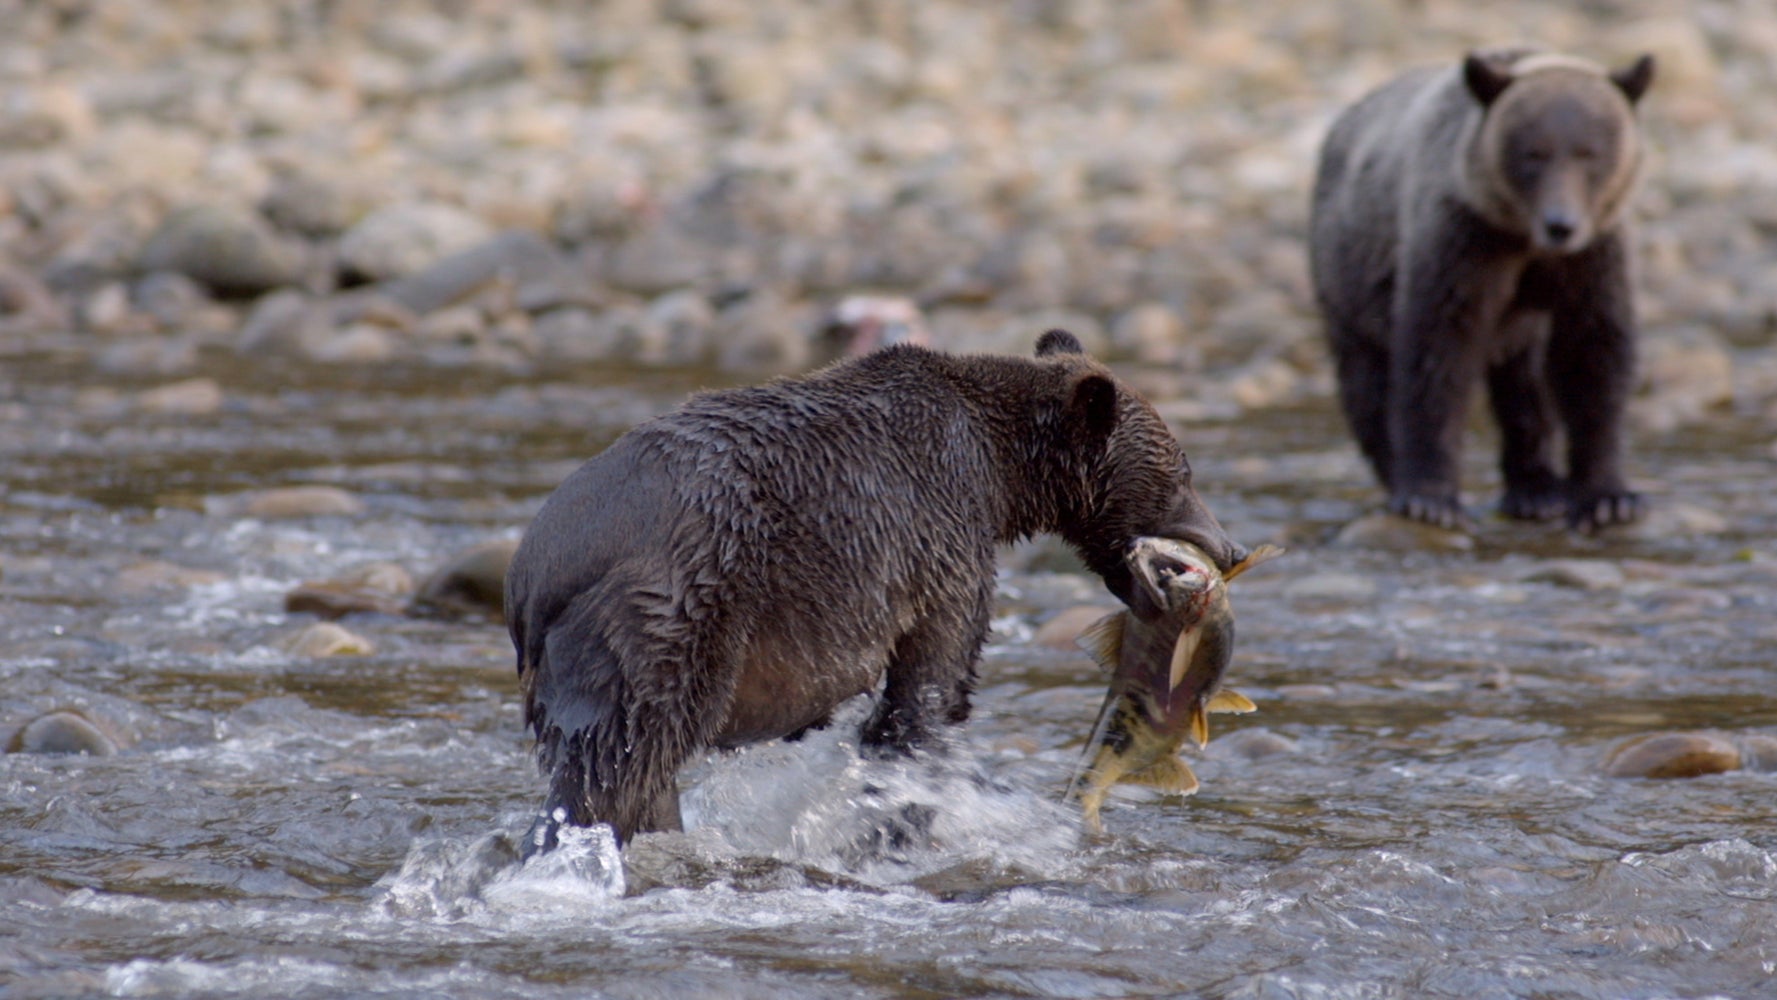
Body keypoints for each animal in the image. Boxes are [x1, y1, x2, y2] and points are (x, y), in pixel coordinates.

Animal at [504, 330, 1247, 850]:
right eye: (1181, 472)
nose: (1230, 546)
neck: (1001, 473)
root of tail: (534, 573)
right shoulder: (940, 538)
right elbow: (931, 684)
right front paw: (895, 820)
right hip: (672, 608)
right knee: (627, 752)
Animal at [1308, 47, 1656, 532]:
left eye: (1590, 153)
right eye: (1533, 154)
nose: (1561, 225)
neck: (1524, 237)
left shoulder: (1592, 256)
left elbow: (1593, 354)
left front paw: (1608, 497)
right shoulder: (1465, 240)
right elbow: (1438, 354)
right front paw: (1430, 497)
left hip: (1521, 328)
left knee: (1526, 386)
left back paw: (1537, 490)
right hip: (1349, 274)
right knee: (1367, 380)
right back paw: (1395, 472)